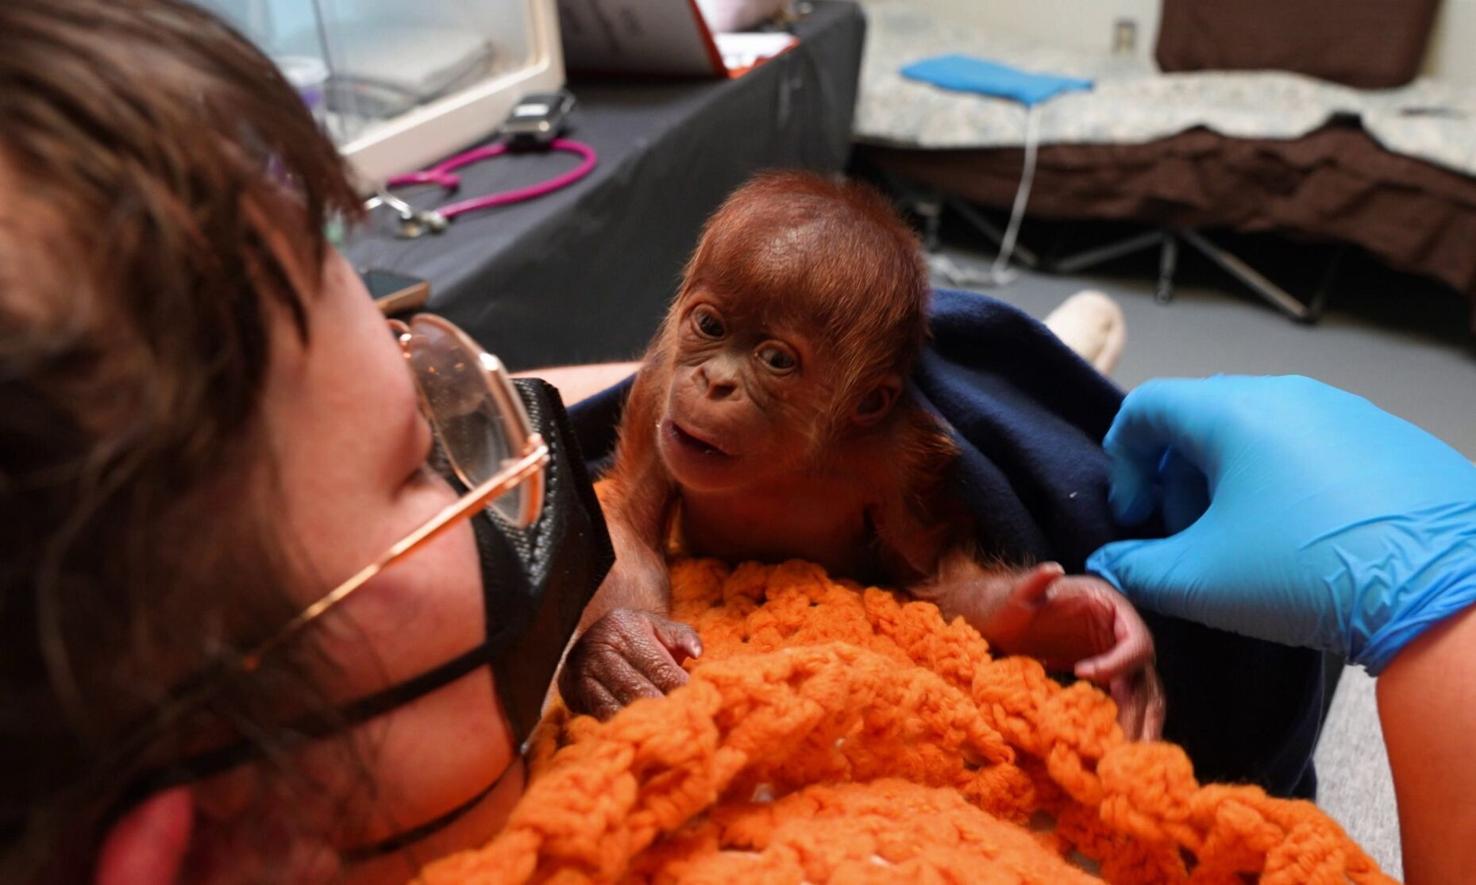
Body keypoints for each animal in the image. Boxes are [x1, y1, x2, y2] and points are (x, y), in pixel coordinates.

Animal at [559, 171, 1163, 739]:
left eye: (776, 359)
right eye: (709, 324)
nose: (714, 382)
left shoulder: (905, 459)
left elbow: (926, 578)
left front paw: (1060, 619)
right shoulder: (661, 385)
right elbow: (629, 518)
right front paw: (619, 648)